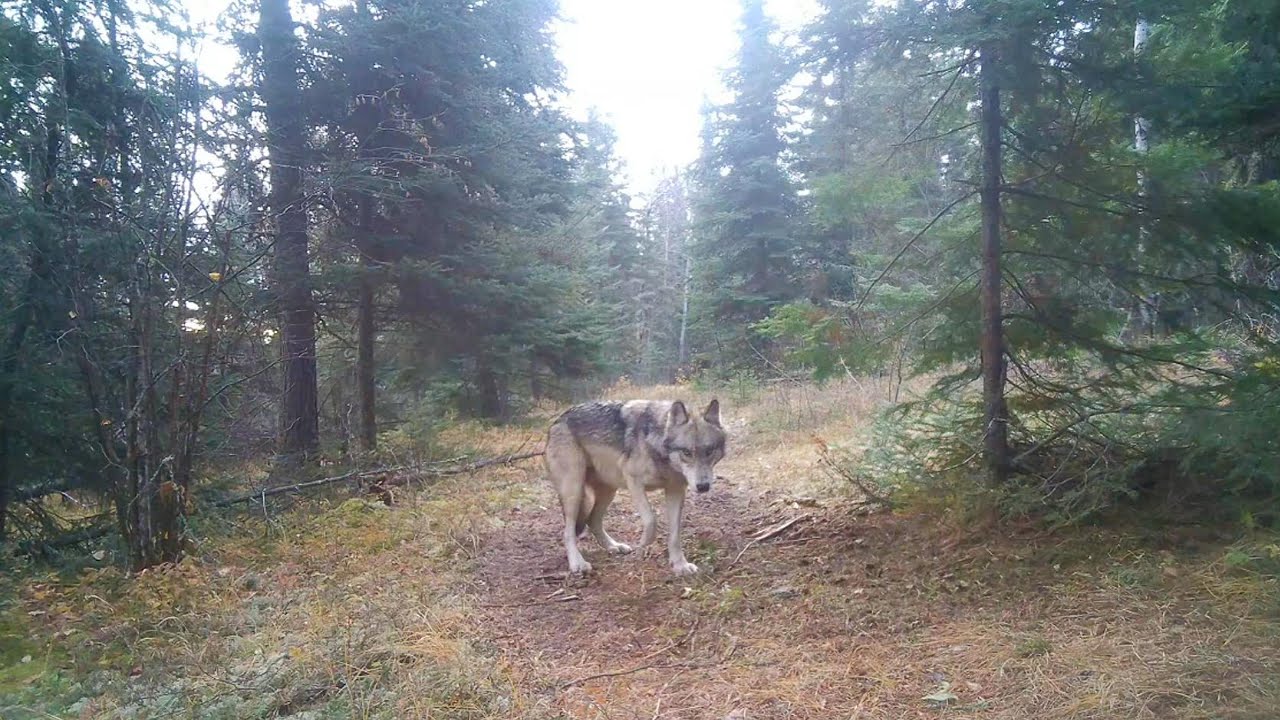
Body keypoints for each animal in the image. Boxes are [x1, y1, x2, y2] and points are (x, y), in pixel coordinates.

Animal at [543, 398, 727, 576]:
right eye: (687, 452)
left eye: (709, 451)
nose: (703, 486)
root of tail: (557, 420)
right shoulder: (634, 482)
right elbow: (651, 520)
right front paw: (643, 544)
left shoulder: (676, 490)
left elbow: (675, 534)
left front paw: (680, 565)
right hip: (574, 491)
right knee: (568, 531)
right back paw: (577, 563)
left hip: (609, 491)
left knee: (593, 520)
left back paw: (613, 546)